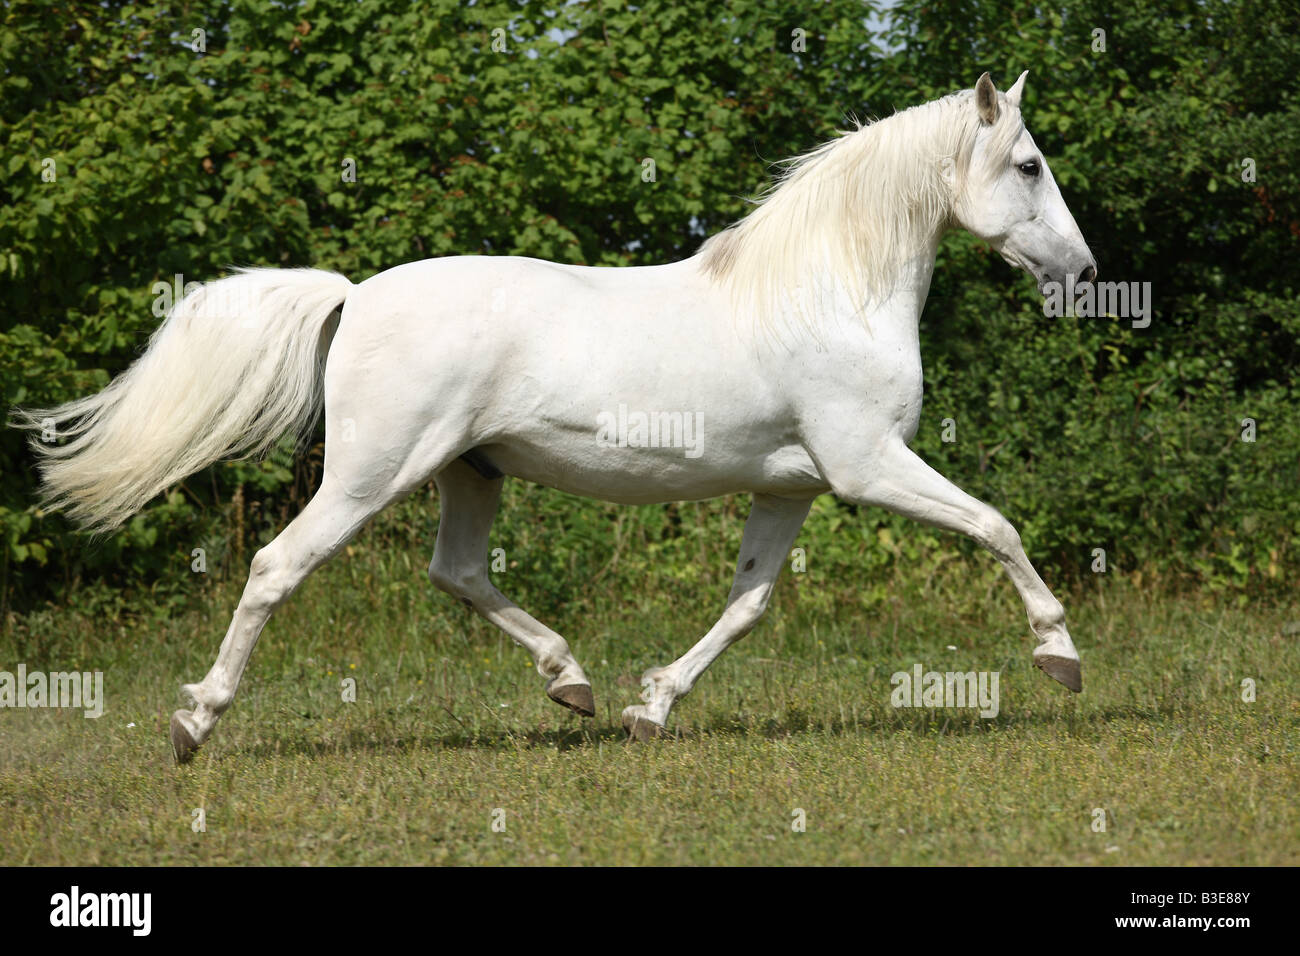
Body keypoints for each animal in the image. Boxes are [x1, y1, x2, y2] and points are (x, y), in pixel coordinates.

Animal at [16, 72, 1096, 762]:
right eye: (1029, 165)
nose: (1083, 272)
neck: (828, 291)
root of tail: (354, 295)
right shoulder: (868, 464)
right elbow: (997, 525)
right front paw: (1061, 657)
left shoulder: (790, 486)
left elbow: (746, 604)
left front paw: (651, 707)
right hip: (371, 474)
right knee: (279, 568)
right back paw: (195, 724)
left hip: (471, 472)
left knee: (457, 572)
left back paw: (571, 681)